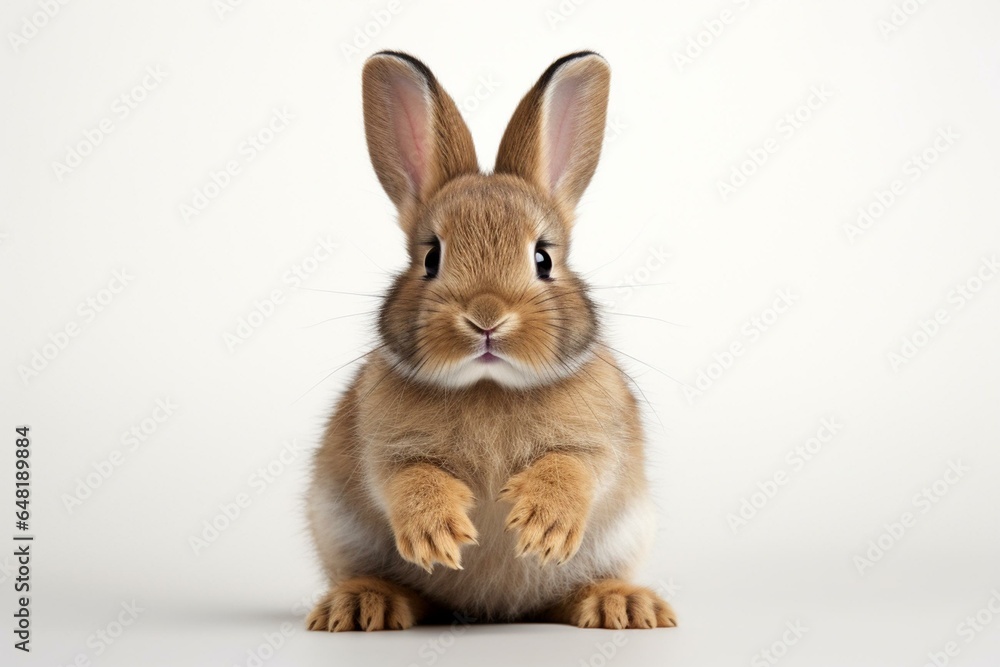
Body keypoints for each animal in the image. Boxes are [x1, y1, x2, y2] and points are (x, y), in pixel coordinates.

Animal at [305, 50, 676, 632]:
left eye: (543, 258)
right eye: (431, 256)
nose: (486, 318)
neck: (488, 385)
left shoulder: (599, 444)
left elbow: (575, 467)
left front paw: (542, 525)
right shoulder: (383, 451)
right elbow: (406, 478)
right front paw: (437, 534)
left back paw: (621, 604)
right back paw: (365, 604)